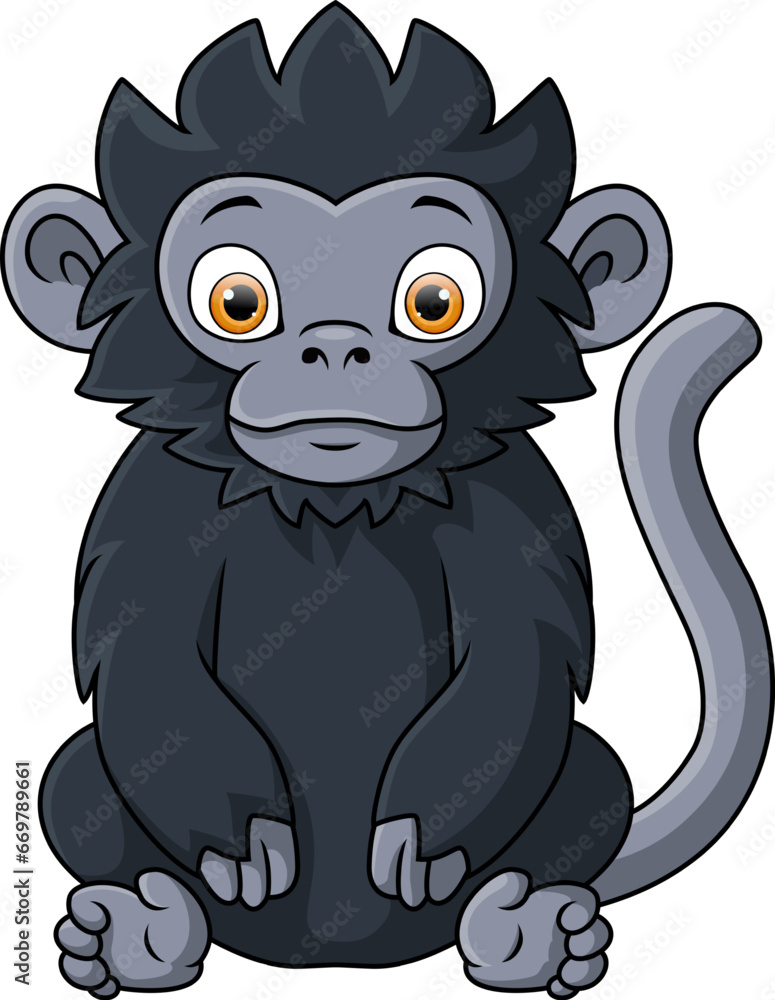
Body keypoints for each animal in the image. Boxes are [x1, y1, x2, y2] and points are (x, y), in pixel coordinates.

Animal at [2, 5, 772, 997]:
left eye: (435, 299)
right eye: (237, 298)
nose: (336, 347)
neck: (332, 503)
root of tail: (339, 953)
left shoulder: (511, 499)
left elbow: (515, 663)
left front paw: (420, 834)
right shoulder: (153, 502)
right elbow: (148, 661)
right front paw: (244, 838)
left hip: (561, 806)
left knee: (589, 782)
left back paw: (522, 931)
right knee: (74, 786)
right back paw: (144, 926)